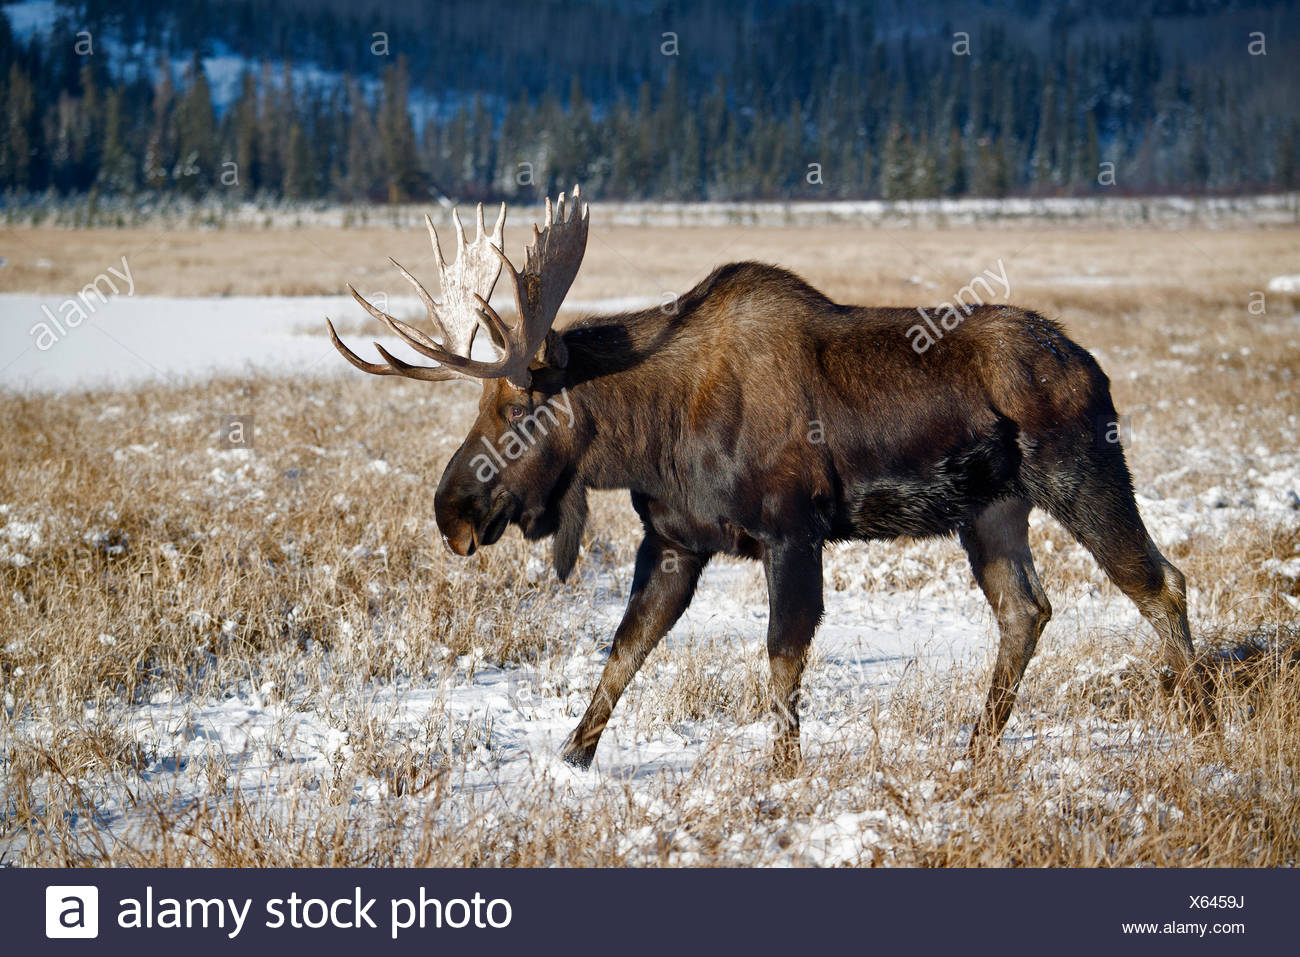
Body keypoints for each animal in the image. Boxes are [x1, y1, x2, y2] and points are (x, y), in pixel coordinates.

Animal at [328, 187, 1214, 775]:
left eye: (517, 406)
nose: (451, 511)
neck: (651, 438)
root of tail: (1092, 364)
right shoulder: (674, 541)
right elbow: (624, 650)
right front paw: (573, 754)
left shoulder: (794, 529)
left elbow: (782, 659)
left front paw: (783, 769)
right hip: (990, 510)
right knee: (1026, 609)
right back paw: (977, 745)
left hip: (1080, 470)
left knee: (1158, 579)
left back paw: (1205, 719)